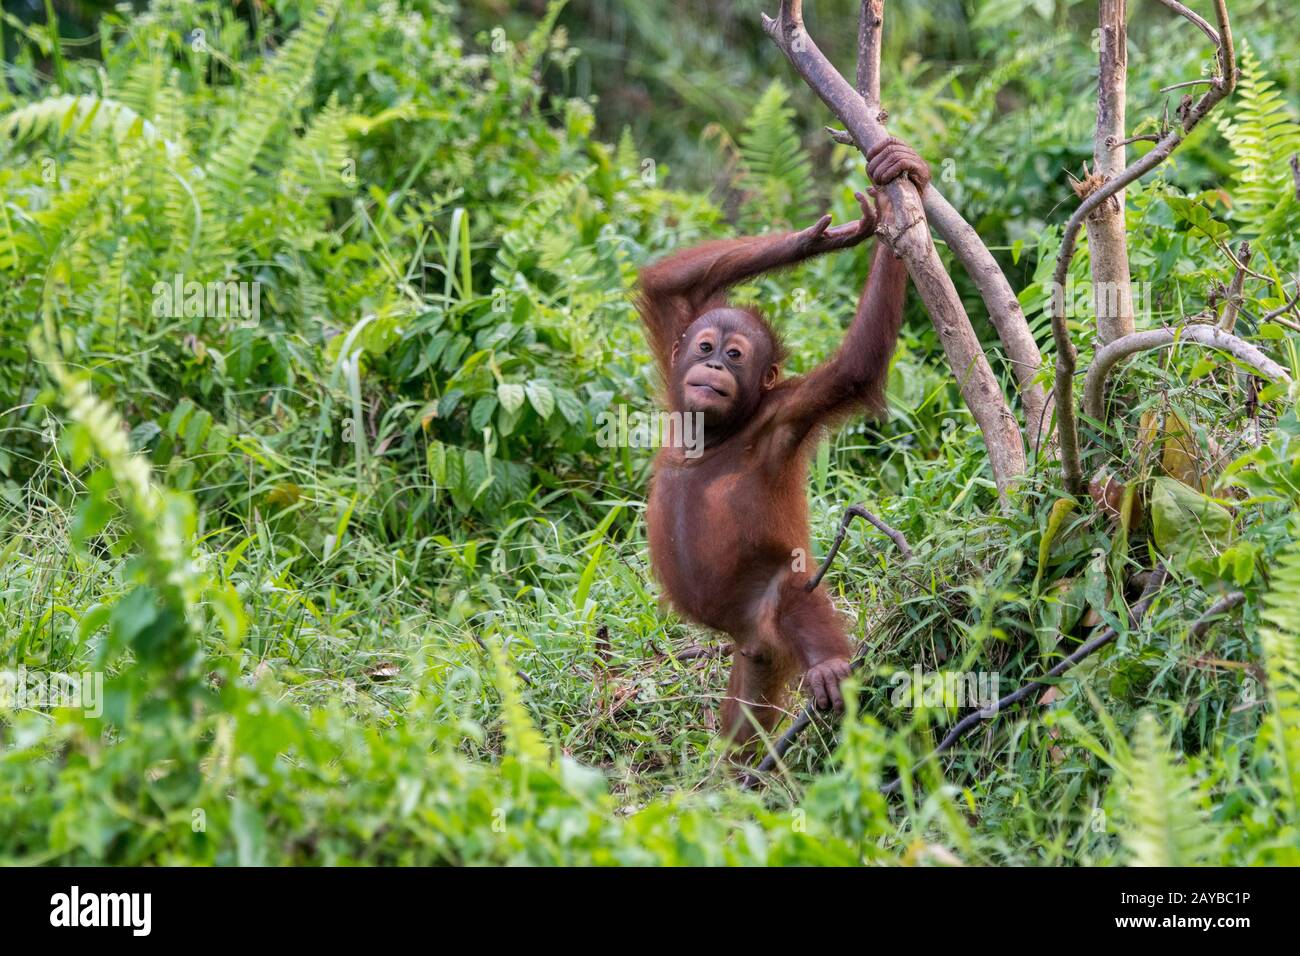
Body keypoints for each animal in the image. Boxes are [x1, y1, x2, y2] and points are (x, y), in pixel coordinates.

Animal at [635, 137, 930, 745]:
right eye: (705, 347)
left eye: (735, 356)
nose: (713, 369)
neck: (716, 434)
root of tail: (751, 638)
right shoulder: (674, 346)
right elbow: (663, 282)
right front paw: (818, 237)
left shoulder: (784, 415)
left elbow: (853, 369)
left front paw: (894, 191)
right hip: (754, 661)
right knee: (740, 737)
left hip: (768, 611)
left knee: (793, 593)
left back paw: (830, 668)